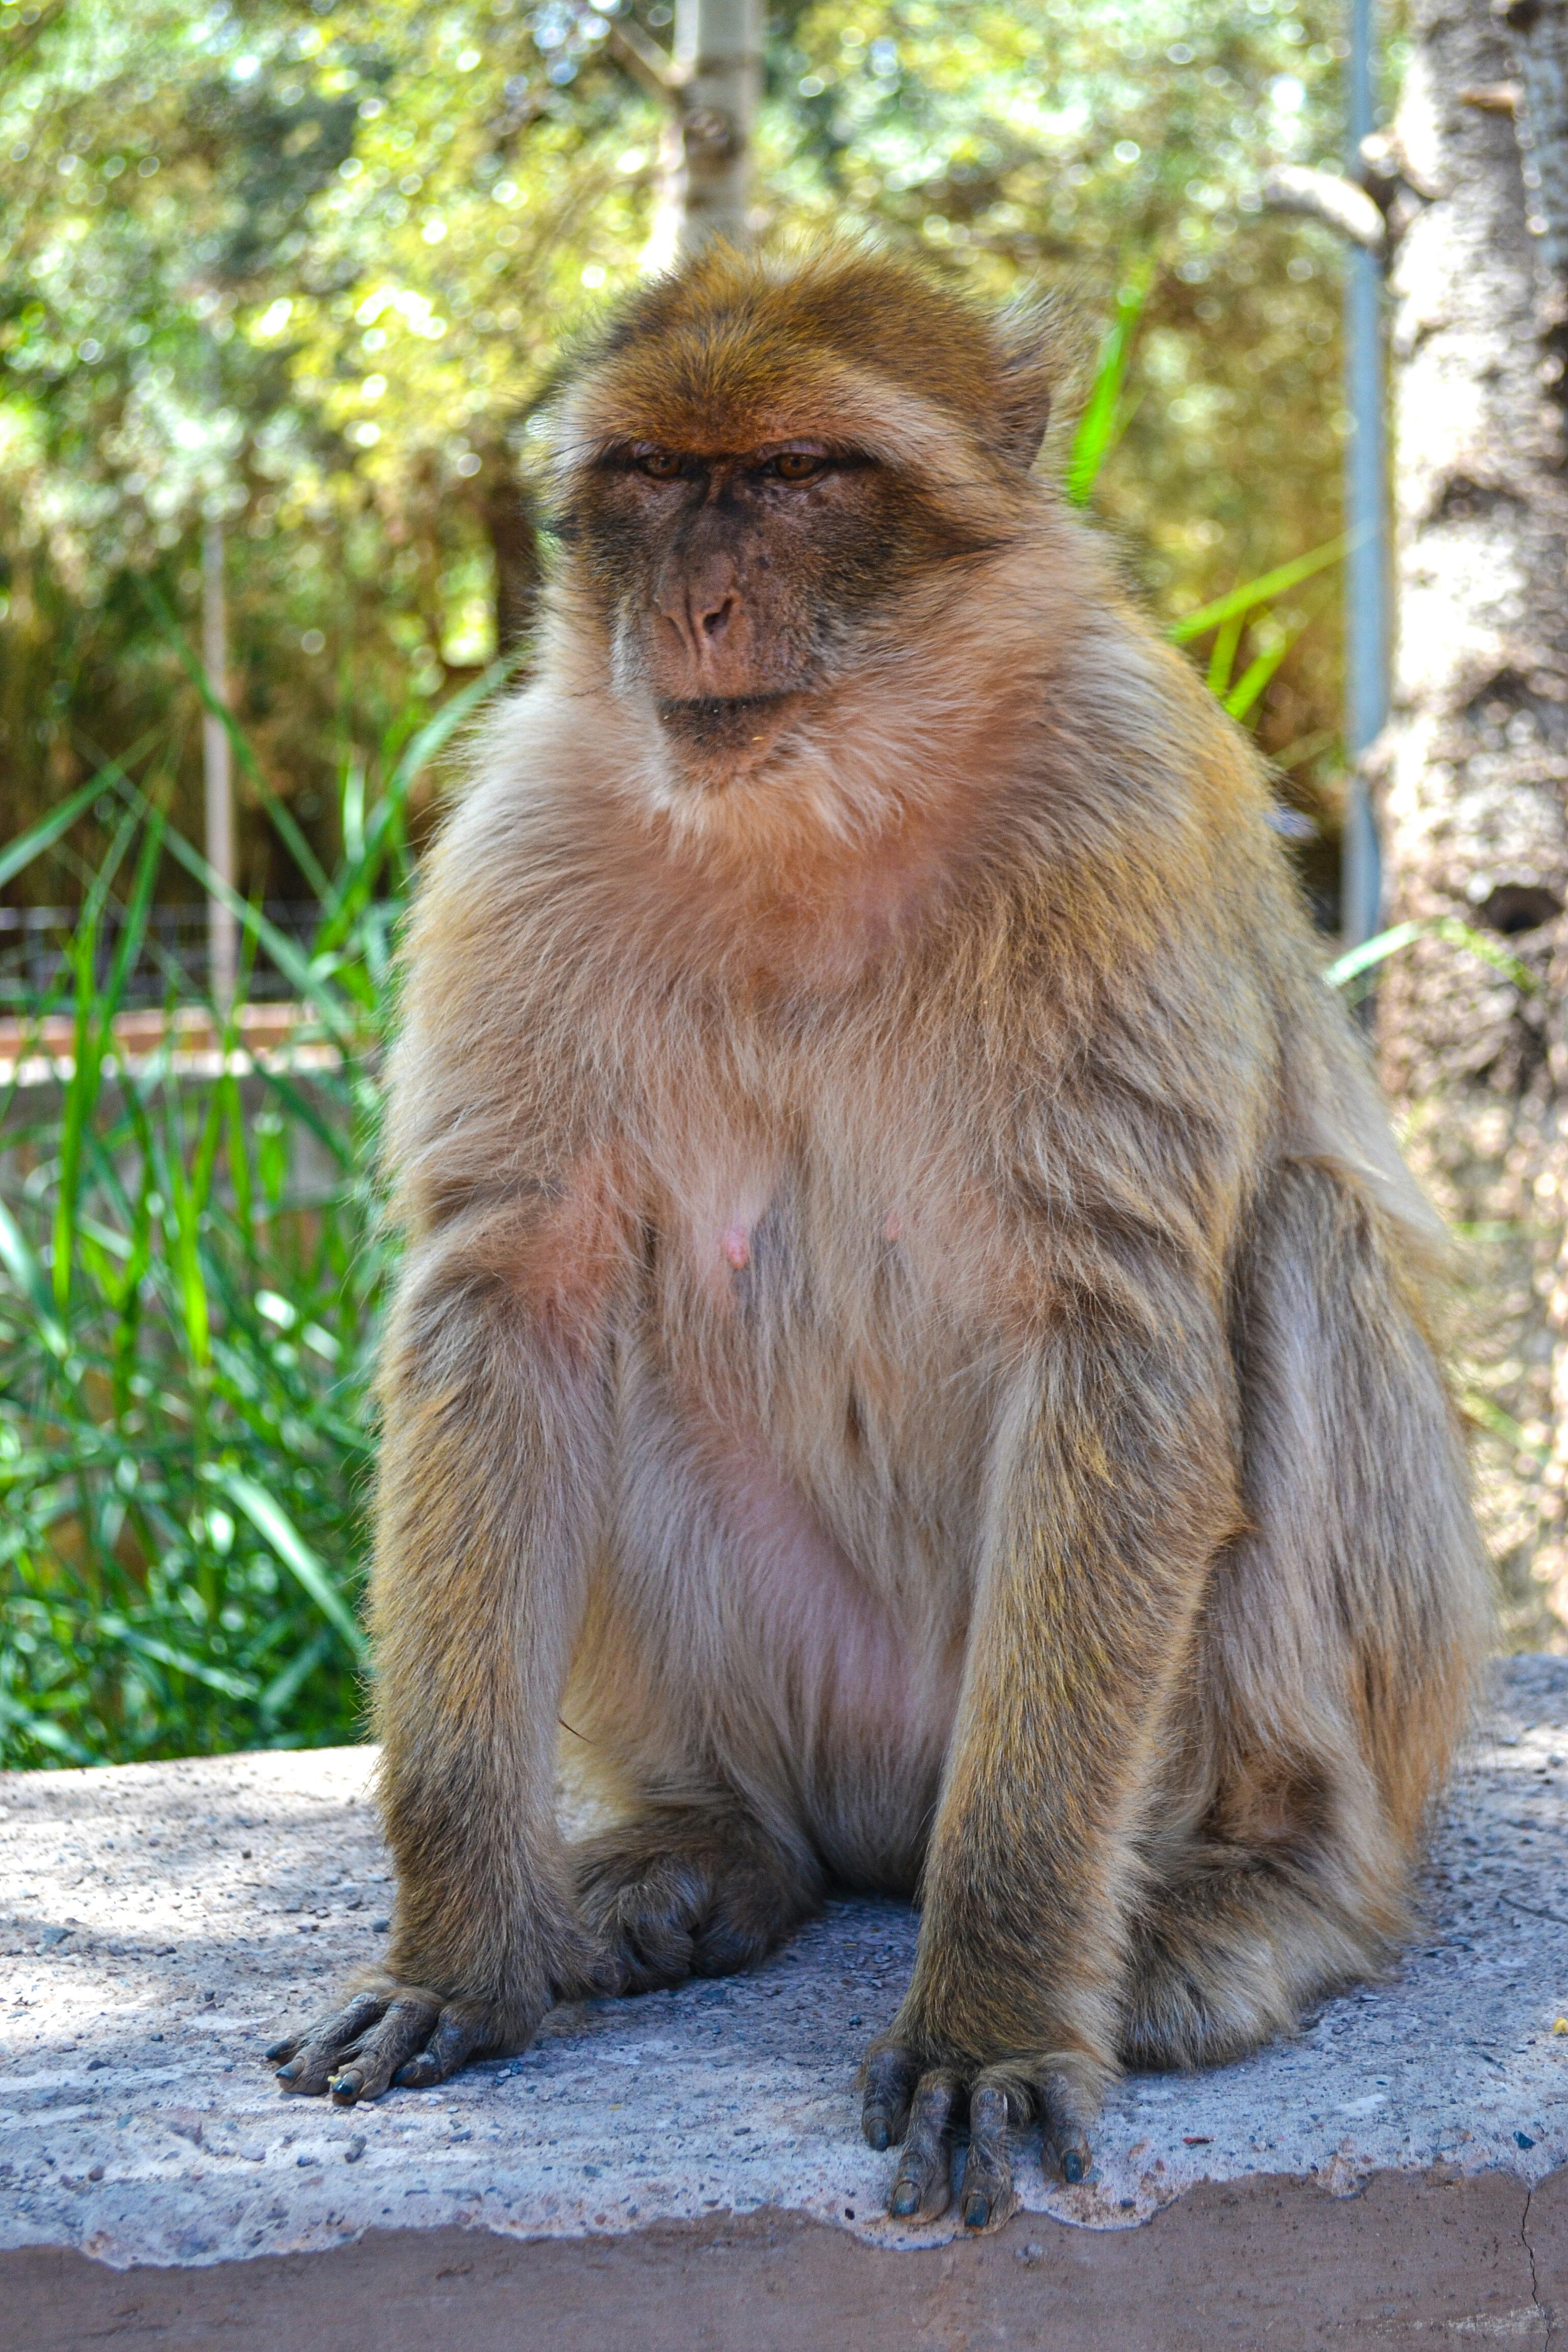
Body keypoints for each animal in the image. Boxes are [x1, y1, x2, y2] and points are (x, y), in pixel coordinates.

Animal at [266, 242, 1492, 2234]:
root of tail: (877, 1823)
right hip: (811, 1695)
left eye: (794, 475)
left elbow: (1117, 1323)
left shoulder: (1125, 799)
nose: (695, 599)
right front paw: (456, 1942)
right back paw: (714, 1847)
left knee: (1296, 1247)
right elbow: (510, 1304)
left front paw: (989, 2007)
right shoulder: (520, 838)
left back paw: (1264, 1877)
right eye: (652, 477)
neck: (819, 817)